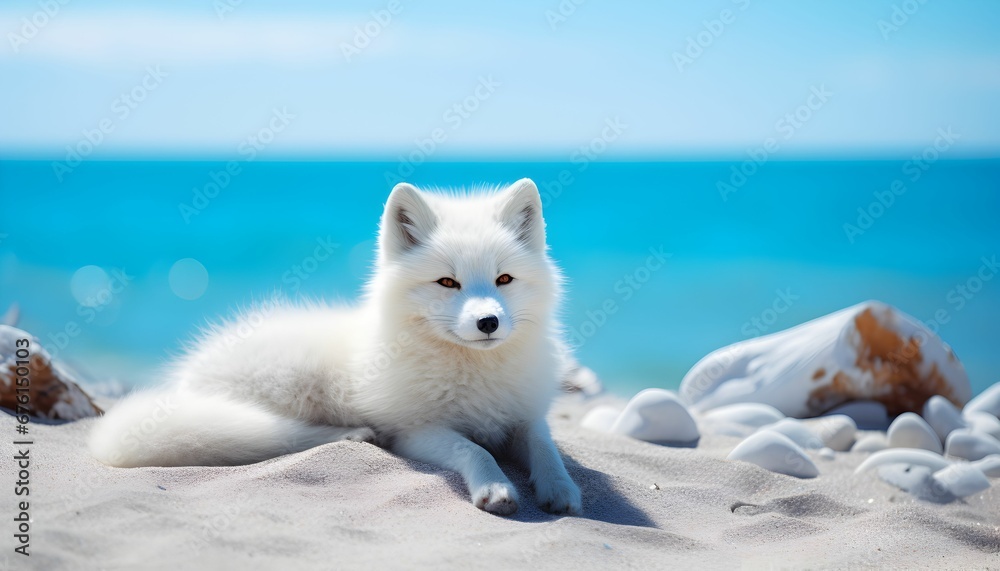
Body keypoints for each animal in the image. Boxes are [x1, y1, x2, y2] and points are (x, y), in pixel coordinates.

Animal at [89, 179, 583, 516]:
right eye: (448, 282)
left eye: (504, 279)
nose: (488, 322)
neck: (475, 372)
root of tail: (188, 378)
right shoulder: (414, 430)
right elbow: (475, 450)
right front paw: (495, 488)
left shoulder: (523, 416)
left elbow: (547, 449)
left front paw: (560, 490)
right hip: (283, 393)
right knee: (281, 437)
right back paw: (351, 435)